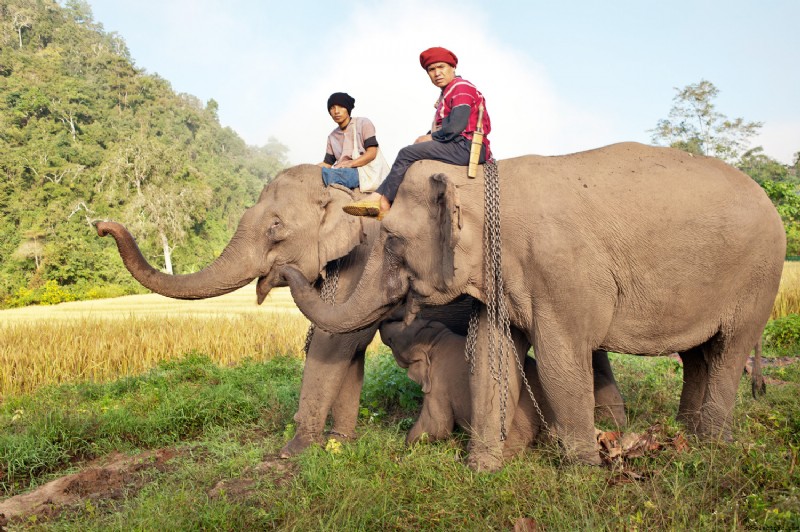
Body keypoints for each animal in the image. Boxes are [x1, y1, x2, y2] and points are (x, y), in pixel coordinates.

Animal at [378, 318, 628, 460]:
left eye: (393, 337)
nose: (383, 321)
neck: (437, 338)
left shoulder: (438, 384)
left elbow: (437, 426)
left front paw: (403, 448)